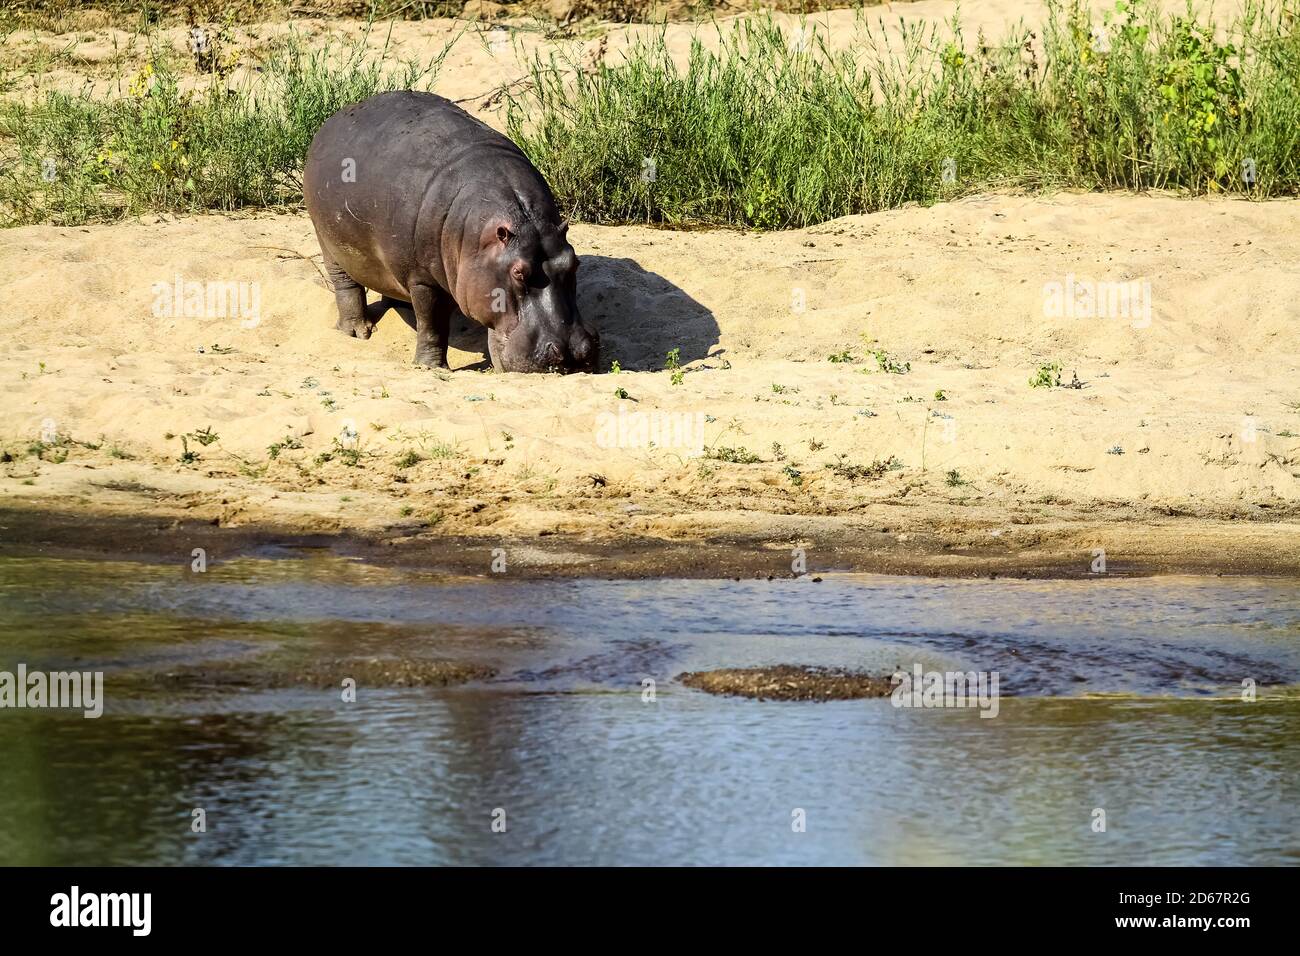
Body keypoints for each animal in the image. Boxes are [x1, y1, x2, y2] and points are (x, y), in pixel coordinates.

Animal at [303, 91, 598, 373]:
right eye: (518, 272)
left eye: (574, 262)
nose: (571, 354)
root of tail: (335, 118)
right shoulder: (423, 279)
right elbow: (432, 324)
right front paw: (429, 366)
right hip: (328, 242)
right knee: (345, 285)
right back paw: (358, 332)